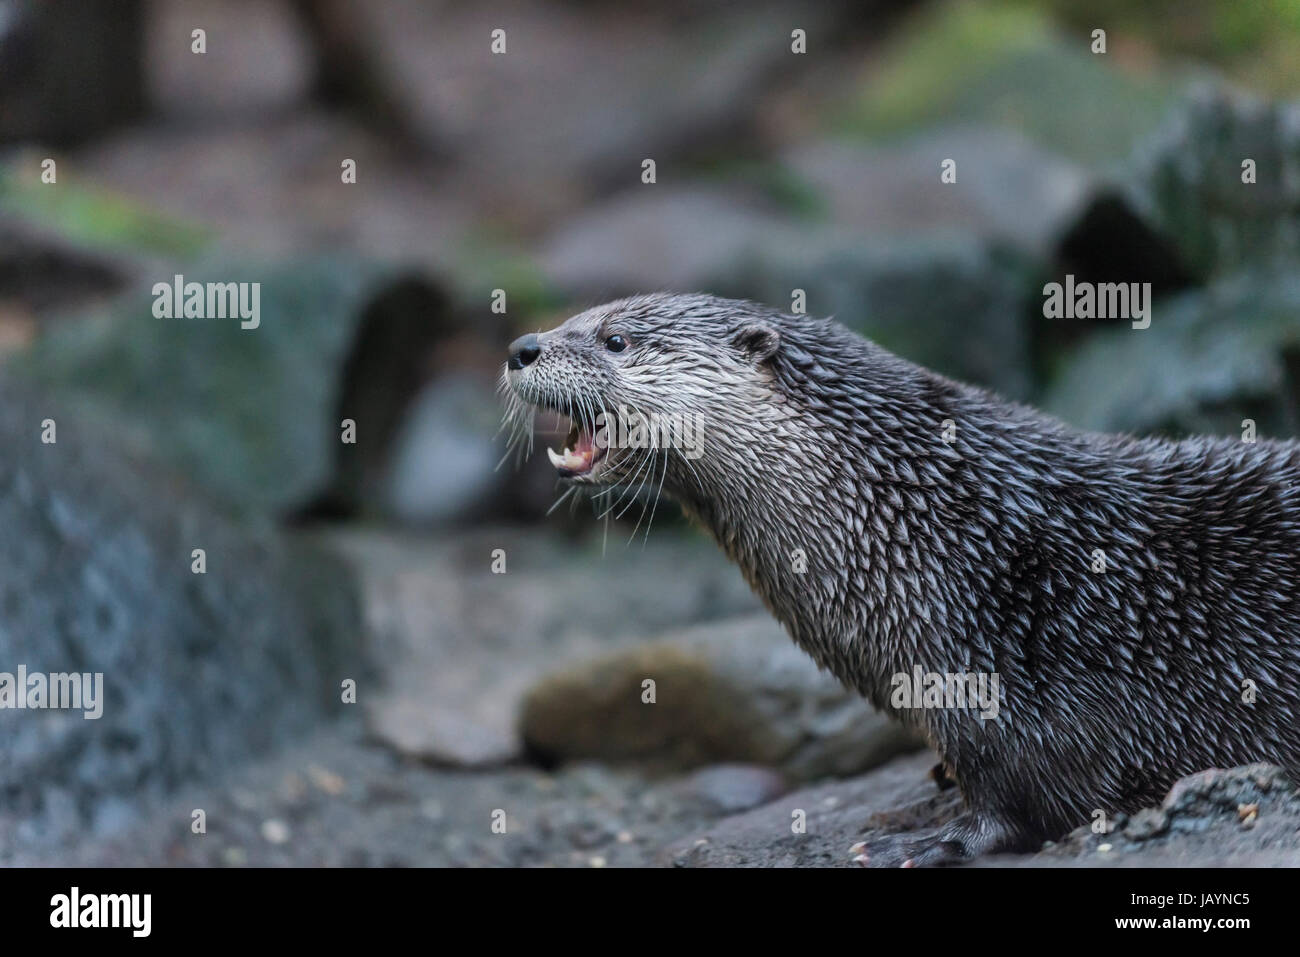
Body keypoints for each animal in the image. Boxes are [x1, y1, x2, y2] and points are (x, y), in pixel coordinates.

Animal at [501, 292, 1300, 866]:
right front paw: (926, 799)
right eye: (574, 319)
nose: (520, 347)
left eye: (616, 340)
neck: (943, 531)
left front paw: (931, 838)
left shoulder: (1023, 677)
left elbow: (1038, 790)